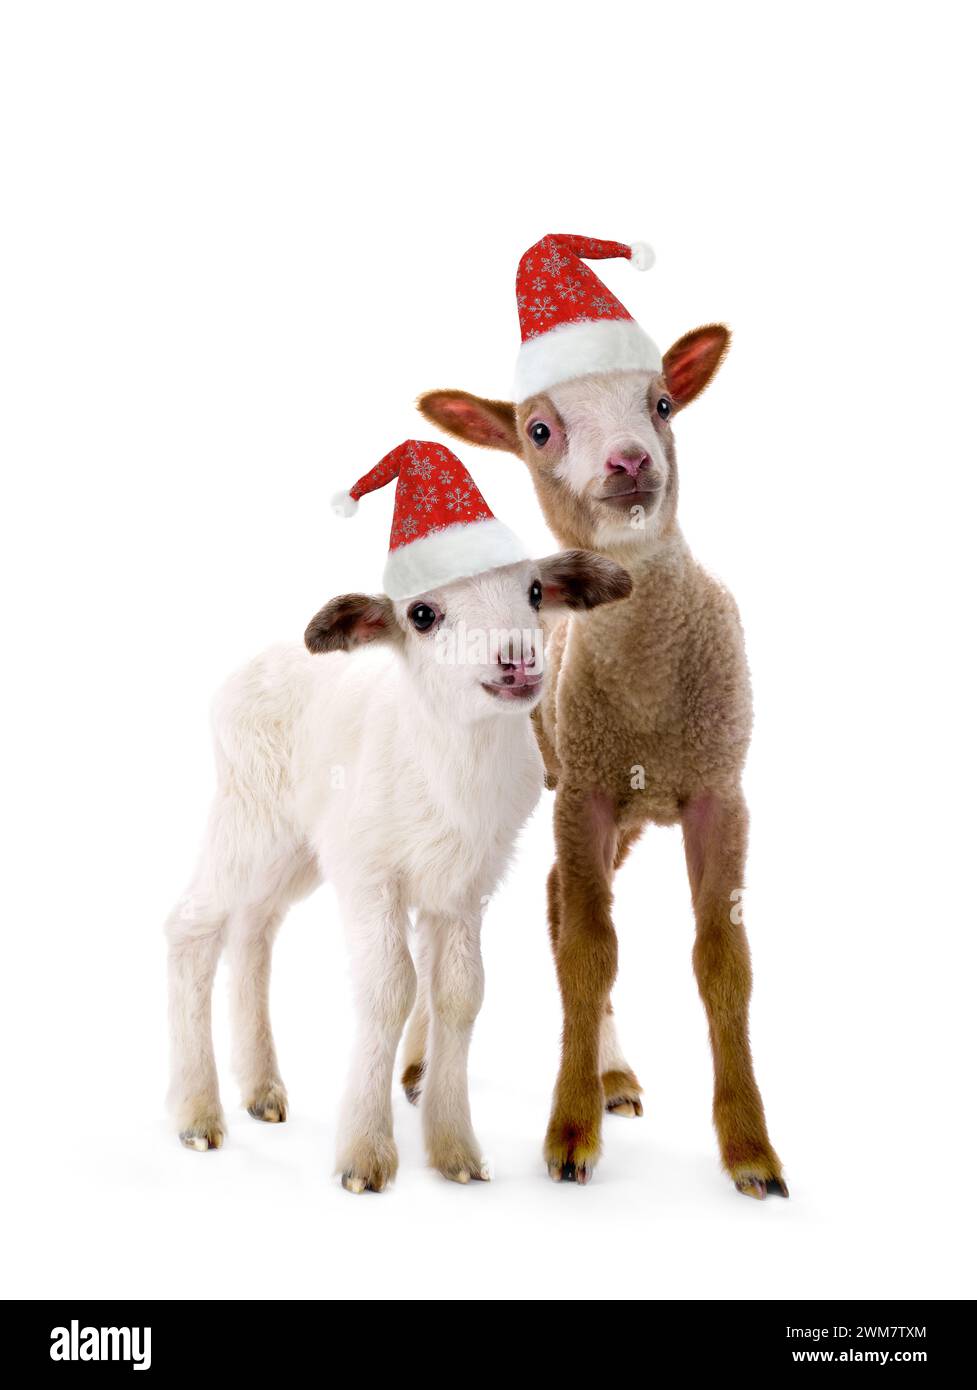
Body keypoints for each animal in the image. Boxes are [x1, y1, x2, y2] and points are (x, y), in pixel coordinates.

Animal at [164, 449, 630, 1191]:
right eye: (422, 613)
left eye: (534, 592)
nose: (519, 657)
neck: (447, 763)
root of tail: (251, 666)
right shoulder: (368, 873)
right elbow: (389, 988)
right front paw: (364, 1154)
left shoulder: (464, 888)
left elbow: (460, 993)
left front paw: (454, 1149)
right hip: (249, 816)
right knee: (192, 927)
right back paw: (197, 1113)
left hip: (296, 848)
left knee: (255, 930)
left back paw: (262, 1089)